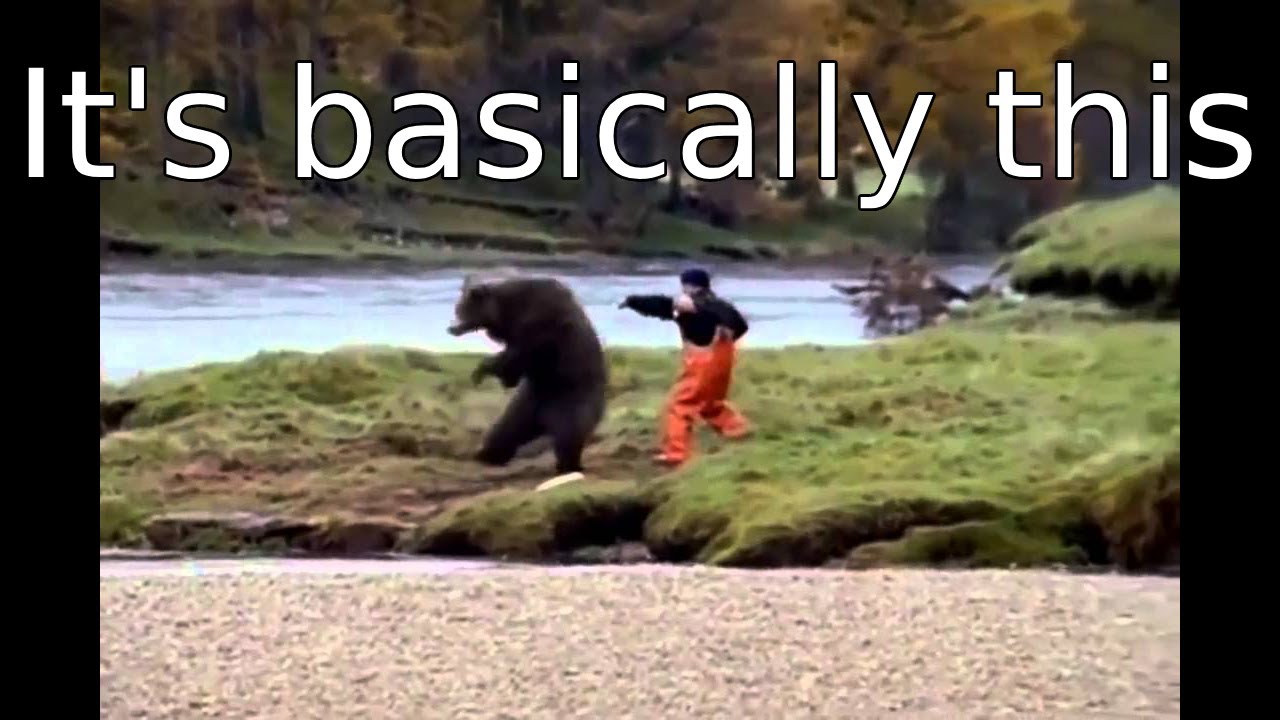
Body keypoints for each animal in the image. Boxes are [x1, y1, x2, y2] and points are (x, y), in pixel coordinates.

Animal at [447, 274, 608, 478]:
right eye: (457, 308)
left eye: (462, 310)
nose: (451, 328)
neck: (507, 313)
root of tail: (545, 420)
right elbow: (514, 363)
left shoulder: (540, 325)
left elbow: (518, 355)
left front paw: (482, 370)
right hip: (530, 403)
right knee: (506, 430)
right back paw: (486, 455)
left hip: (573, 398)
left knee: (570, 433)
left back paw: (569, 465)